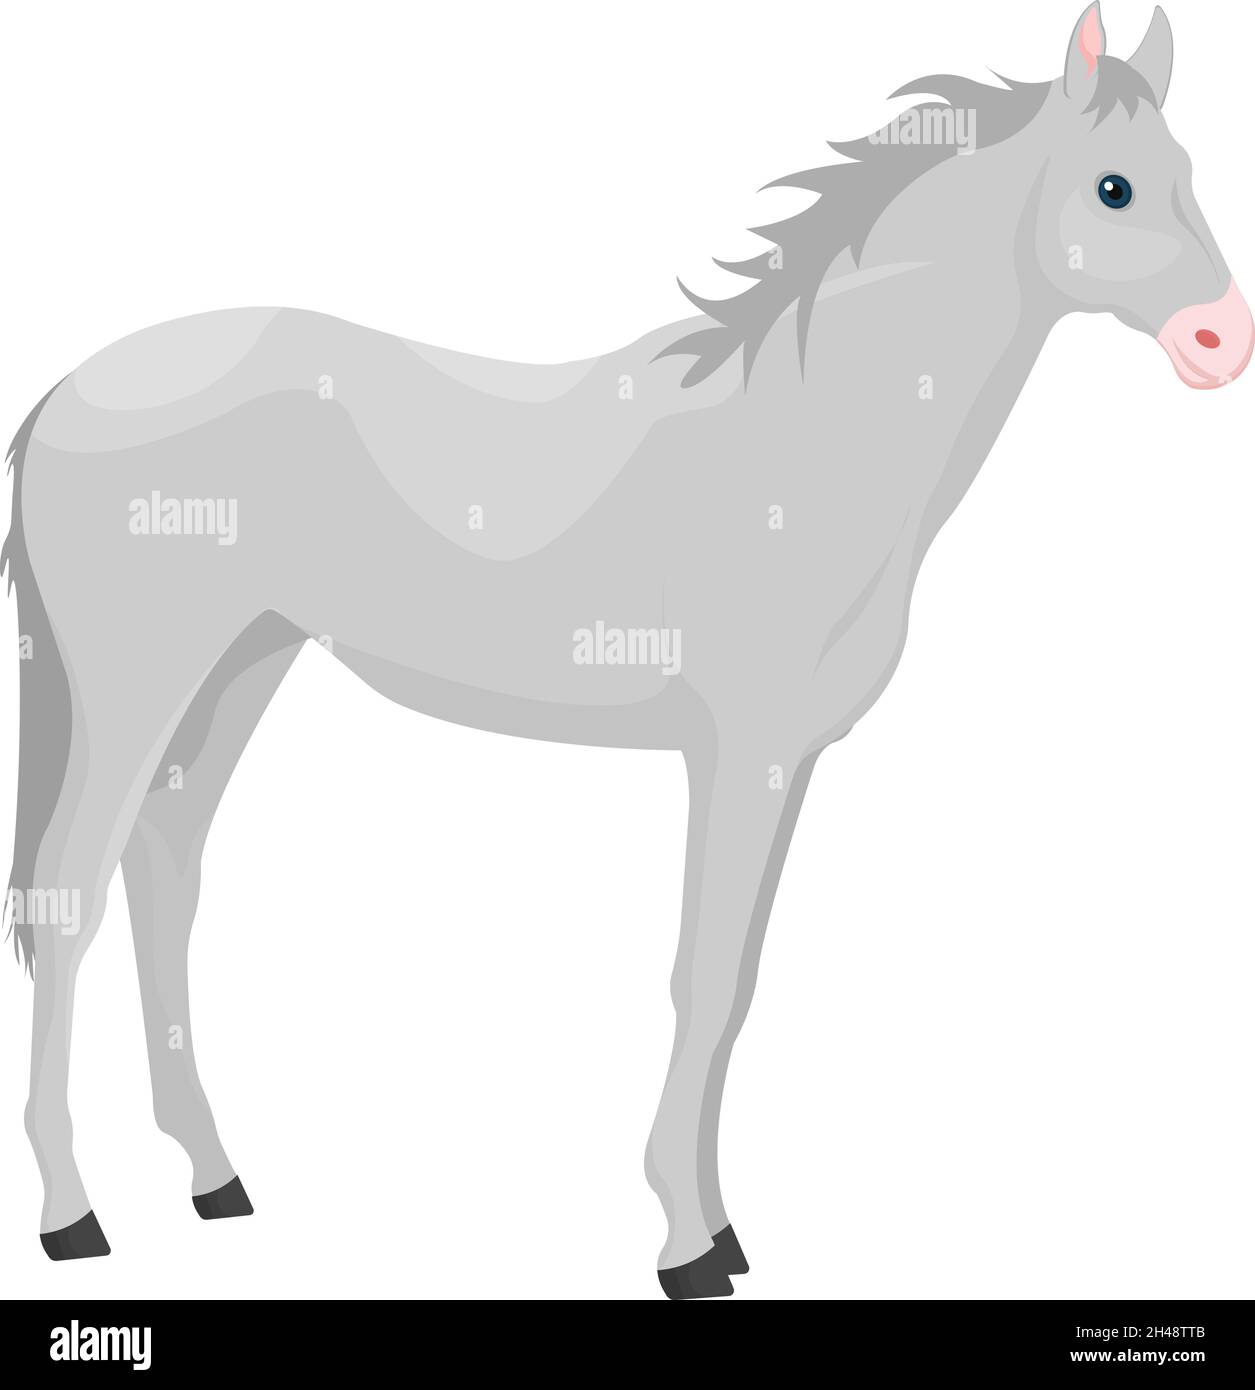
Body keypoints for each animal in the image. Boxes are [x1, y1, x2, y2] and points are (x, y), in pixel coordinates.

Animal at [5, 4, 1249, 1297]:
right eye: (1113, 187)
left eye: (1189, 172)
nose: (1223, 346)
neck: (807, 441)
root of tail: (64, 394)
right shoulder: (738, 751)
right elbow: (700, 979)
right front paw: (687, 1245)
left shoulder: (787, 762)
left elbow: (738, 982)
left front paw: (725, 1230)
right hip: (137, 682)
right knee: (69, 897)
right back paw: (71, 1214)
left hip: (244, 665)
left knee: (166, 873)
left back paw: (214, 1178)